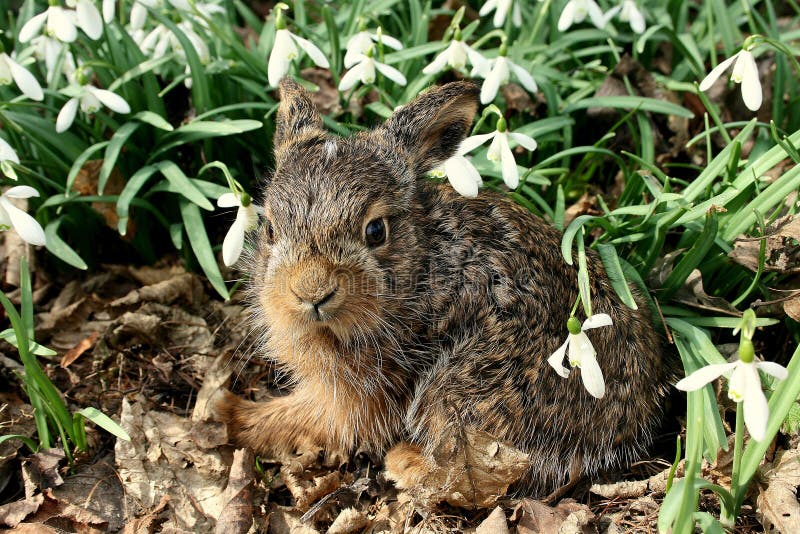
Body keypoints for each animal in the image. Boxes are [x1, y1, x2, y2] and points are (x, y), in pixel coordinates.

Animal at [217, 78, 667, 498]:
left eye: (376, 231)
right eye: (270, 229)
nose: (312, 292)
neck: (420, 267)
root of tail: (625, 423)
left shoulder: (358, 392)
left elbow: (308, 418)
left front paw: (231, 414)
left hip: (463, 384)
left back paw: (404, 462)